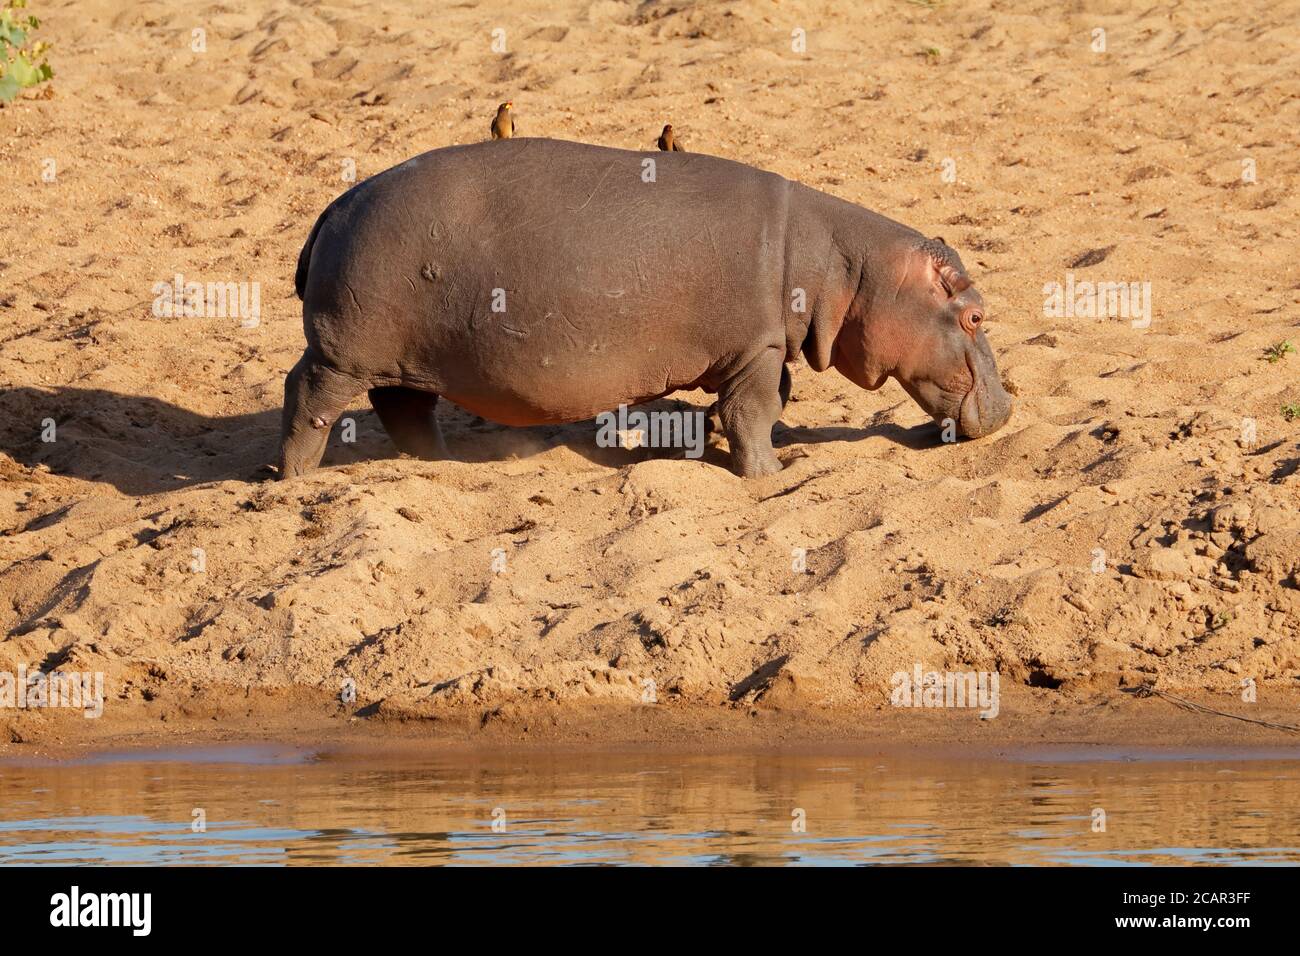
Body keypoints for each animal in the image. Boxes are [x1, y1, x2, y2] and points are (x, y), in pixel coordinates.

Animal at [279, 137, 1012, 479]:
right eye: (974, 315)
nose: (1010, 407)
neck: (848, 269)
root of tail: (334, 206)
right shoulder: (757, 347)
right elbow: (755, 410)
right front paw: (769, 473)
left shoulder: (763, 347)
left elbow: (761, 402)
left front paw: (714, 439)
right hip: (343, 352)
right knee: (307, 396)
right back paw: (290, 478)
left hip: (400, 358)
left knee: (404, 408)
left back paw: (435, 466)